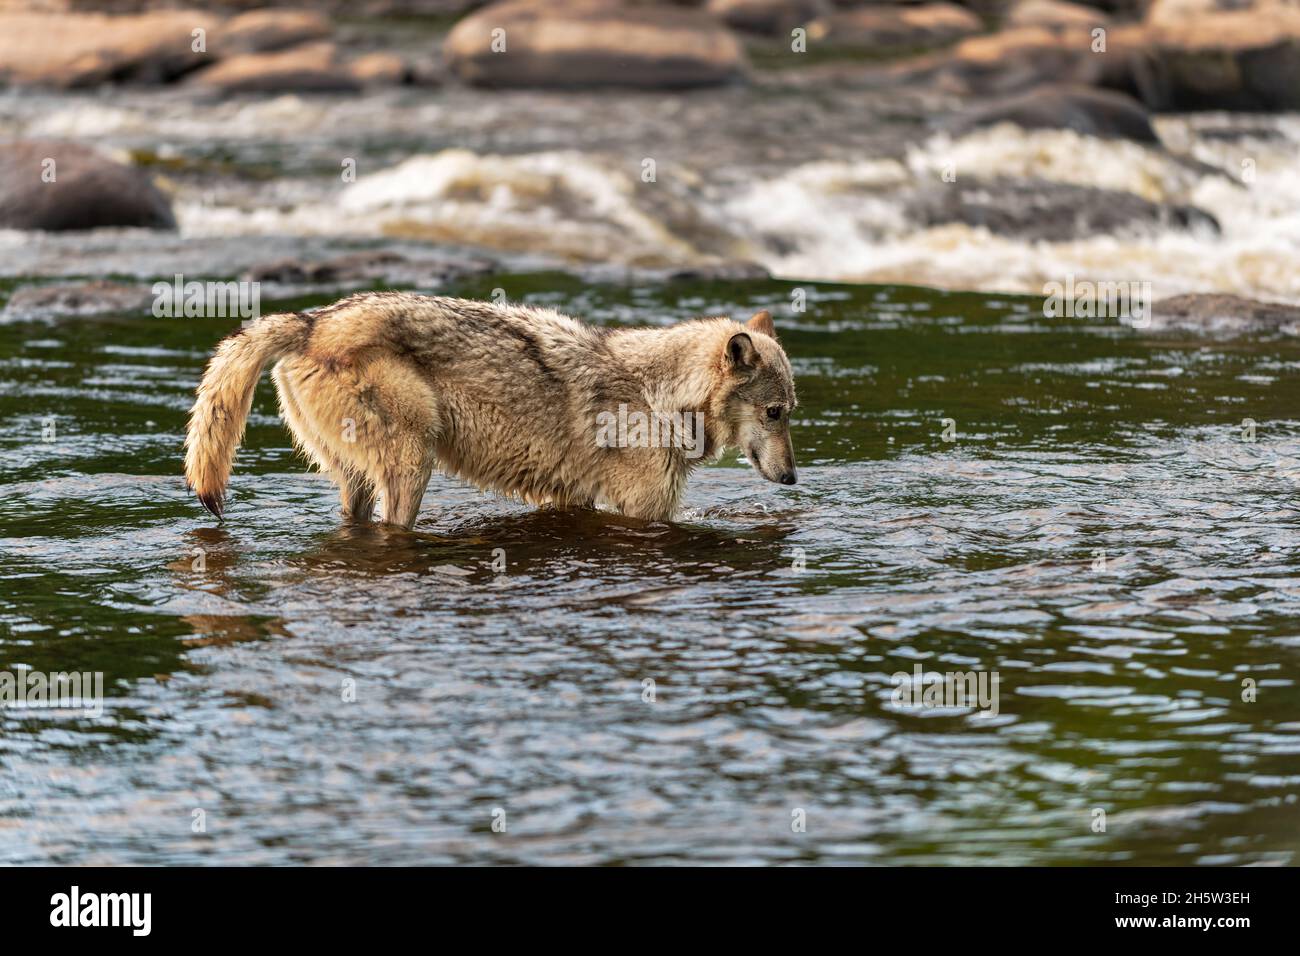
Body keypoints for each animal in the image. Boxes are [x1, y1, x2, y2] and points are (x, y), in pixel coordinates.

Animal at [184, 292, 798, 529]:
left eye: (790, 410)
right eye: (775, 413)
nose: (794, 478)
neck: (657, 396)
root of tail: (311, 322)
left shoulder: (571, 499)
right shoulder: (645, 511)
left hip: (357, 478)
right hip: (413, 466)